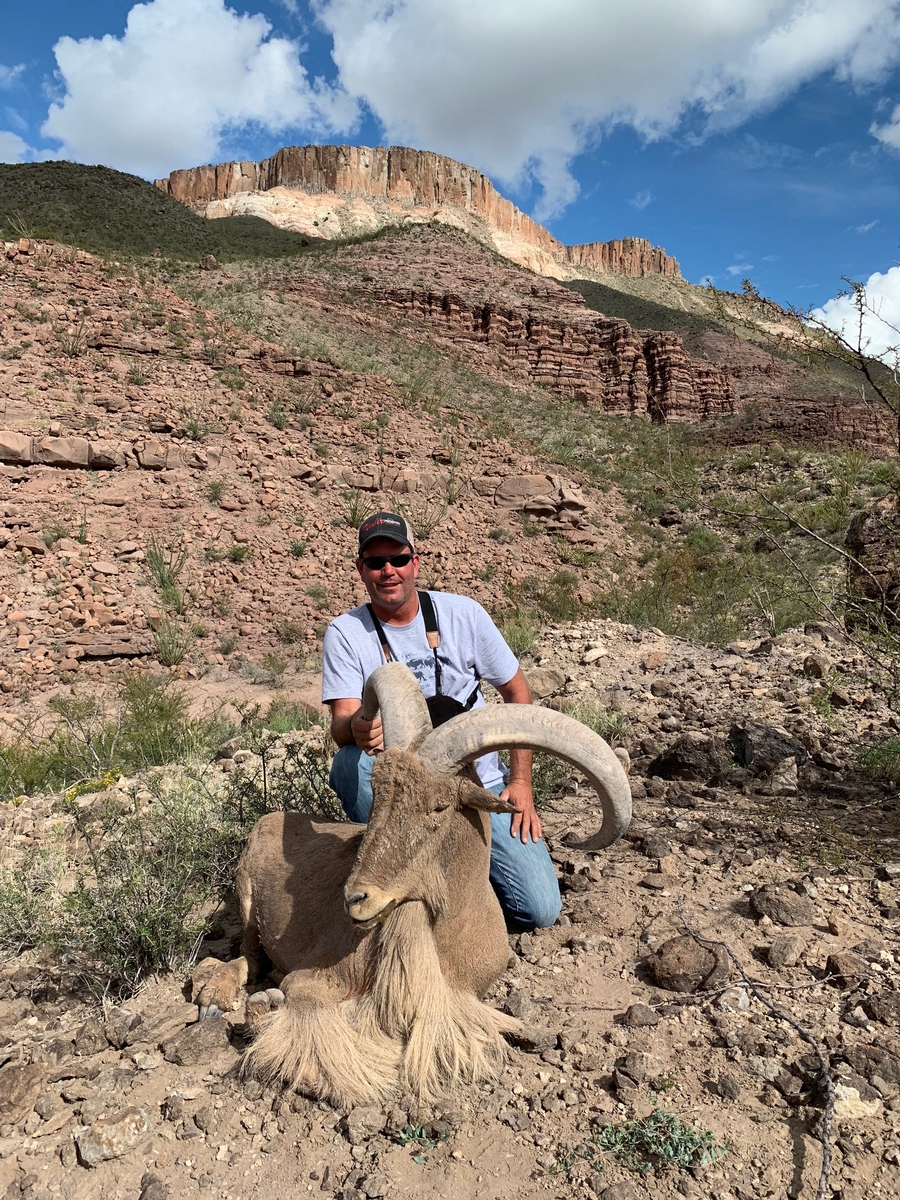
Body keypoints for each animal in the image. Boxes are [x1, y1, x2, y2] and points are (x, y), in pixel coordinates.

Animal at [192, 661, 631, 1107]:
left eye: (438, 806)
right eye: (377, 796)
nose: (356, 898)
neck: (448, 938)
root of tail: (270, 818)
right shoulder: (317, 976)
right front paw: (265, 1007)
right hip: (247, 896)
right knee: (248, 954)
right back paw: (214, 994)